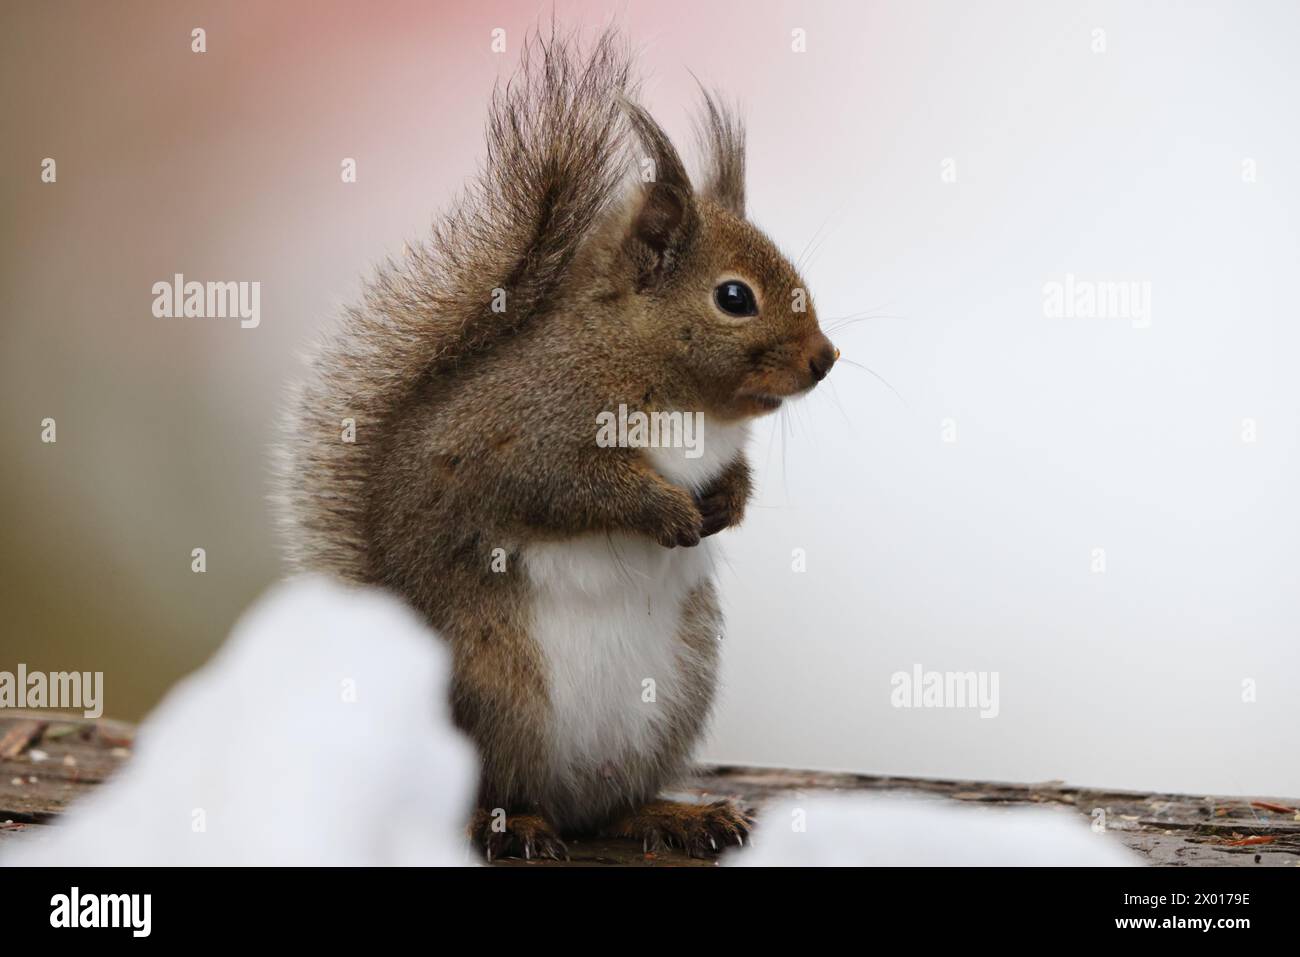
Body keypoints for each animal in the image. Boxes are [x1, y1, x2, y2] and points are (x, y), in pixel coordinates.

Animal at [275, 27, 837, 860]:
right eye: (735, 297)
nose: (826, 358)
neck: (667, 381)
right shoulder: (526, 436)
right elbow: (570, 488)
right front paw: (667, 511)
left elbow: (732, 477)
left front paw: (724, 506)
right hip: (499, 687)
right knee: (498, 791)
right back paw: (514, 824)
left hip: (671, 696)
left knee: (606, 809)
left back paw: (673, 814)